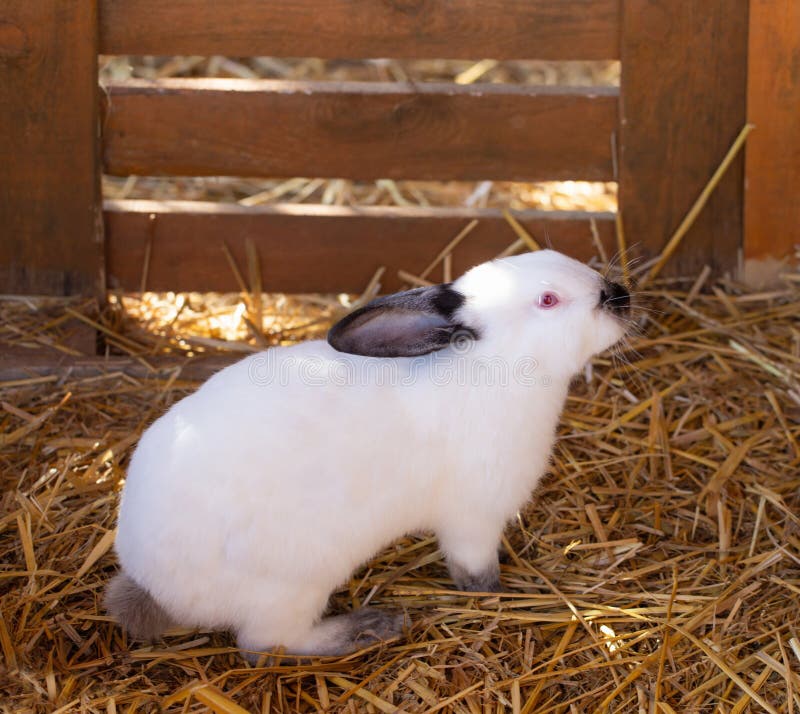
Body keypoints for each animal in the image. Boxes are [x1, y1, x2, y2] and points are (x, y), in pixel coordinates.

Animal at [105, 249, 631, 662]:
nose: (620, 296)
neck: (494, 370)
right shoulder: (472, 519)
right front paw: (494, 594)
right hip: (292, 588)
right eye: (548, 300)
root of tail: (151, 584)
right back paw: (370, 627)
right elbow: (474, 569)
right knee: (265, 645)